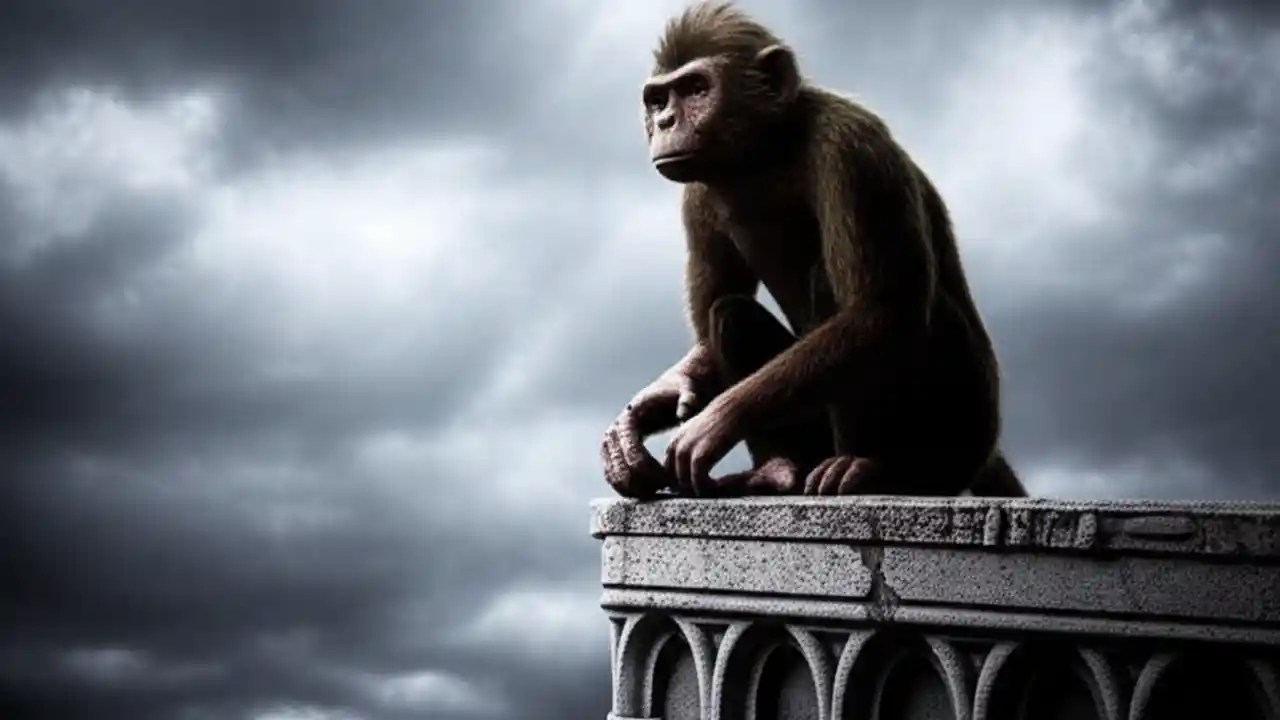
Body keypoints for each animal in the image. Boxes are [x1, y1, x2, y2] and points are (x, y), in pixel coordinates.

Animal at [600, 1, 1027, 499]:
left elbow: (881, 311)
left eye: (696, 89)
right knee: (732, 314)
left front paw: (717, 421)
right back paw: (778, 470)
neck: (762, 153)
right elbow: (709, 336)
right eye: (659, 100)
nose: (665, 122)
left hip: (959, 428)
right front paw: (656, 402)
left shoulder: (850, 146)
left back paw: (873, 468)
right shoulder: (697, 196)